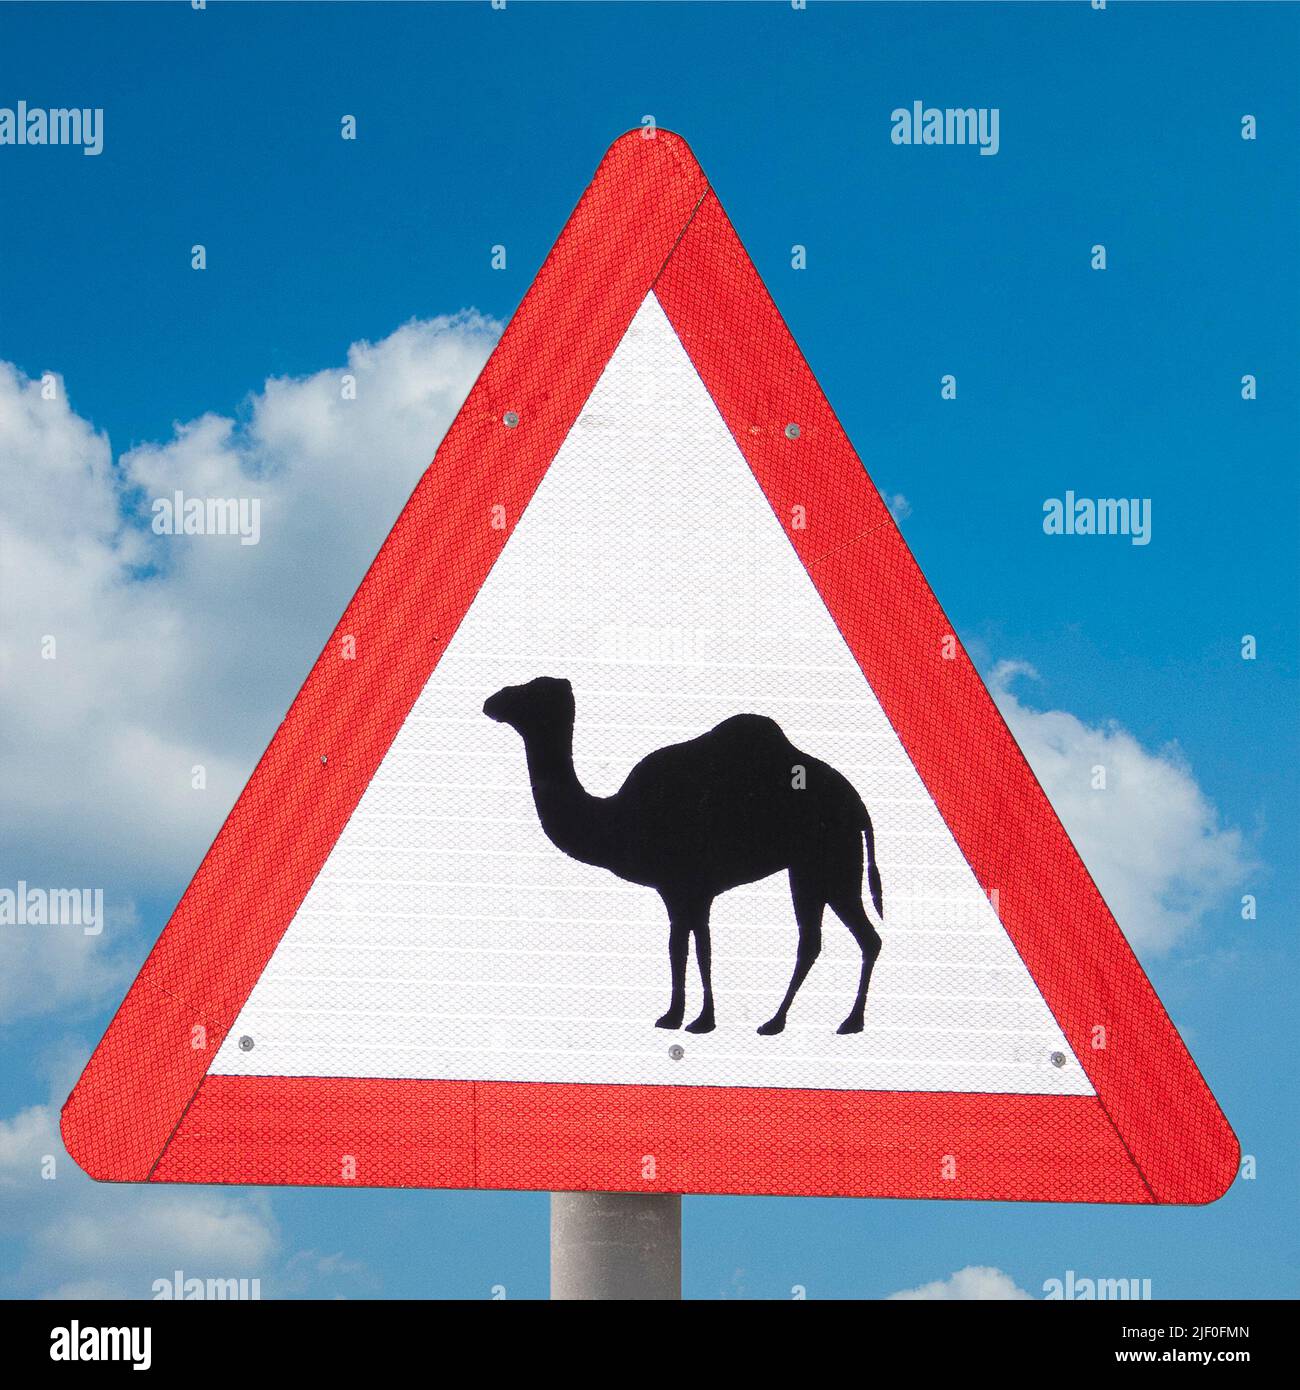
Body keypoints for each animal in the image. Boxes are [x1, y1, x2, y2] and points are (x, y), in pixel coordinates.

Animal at [483, 676, 884, 1036]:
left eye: (532, 692)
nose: (492, 701)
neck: (619, 817)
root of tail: (858, 805)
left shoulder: (690, 885)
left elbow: (693, 947)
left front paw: (696, 1021)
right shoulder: (680, 890)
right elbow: (686, 946)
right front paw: (679, 1017)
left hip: (828, 859)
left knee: (845, 937)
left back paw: (837, 1022)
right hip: (810, 866)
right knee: (828, 939)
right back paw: (790, 1021)